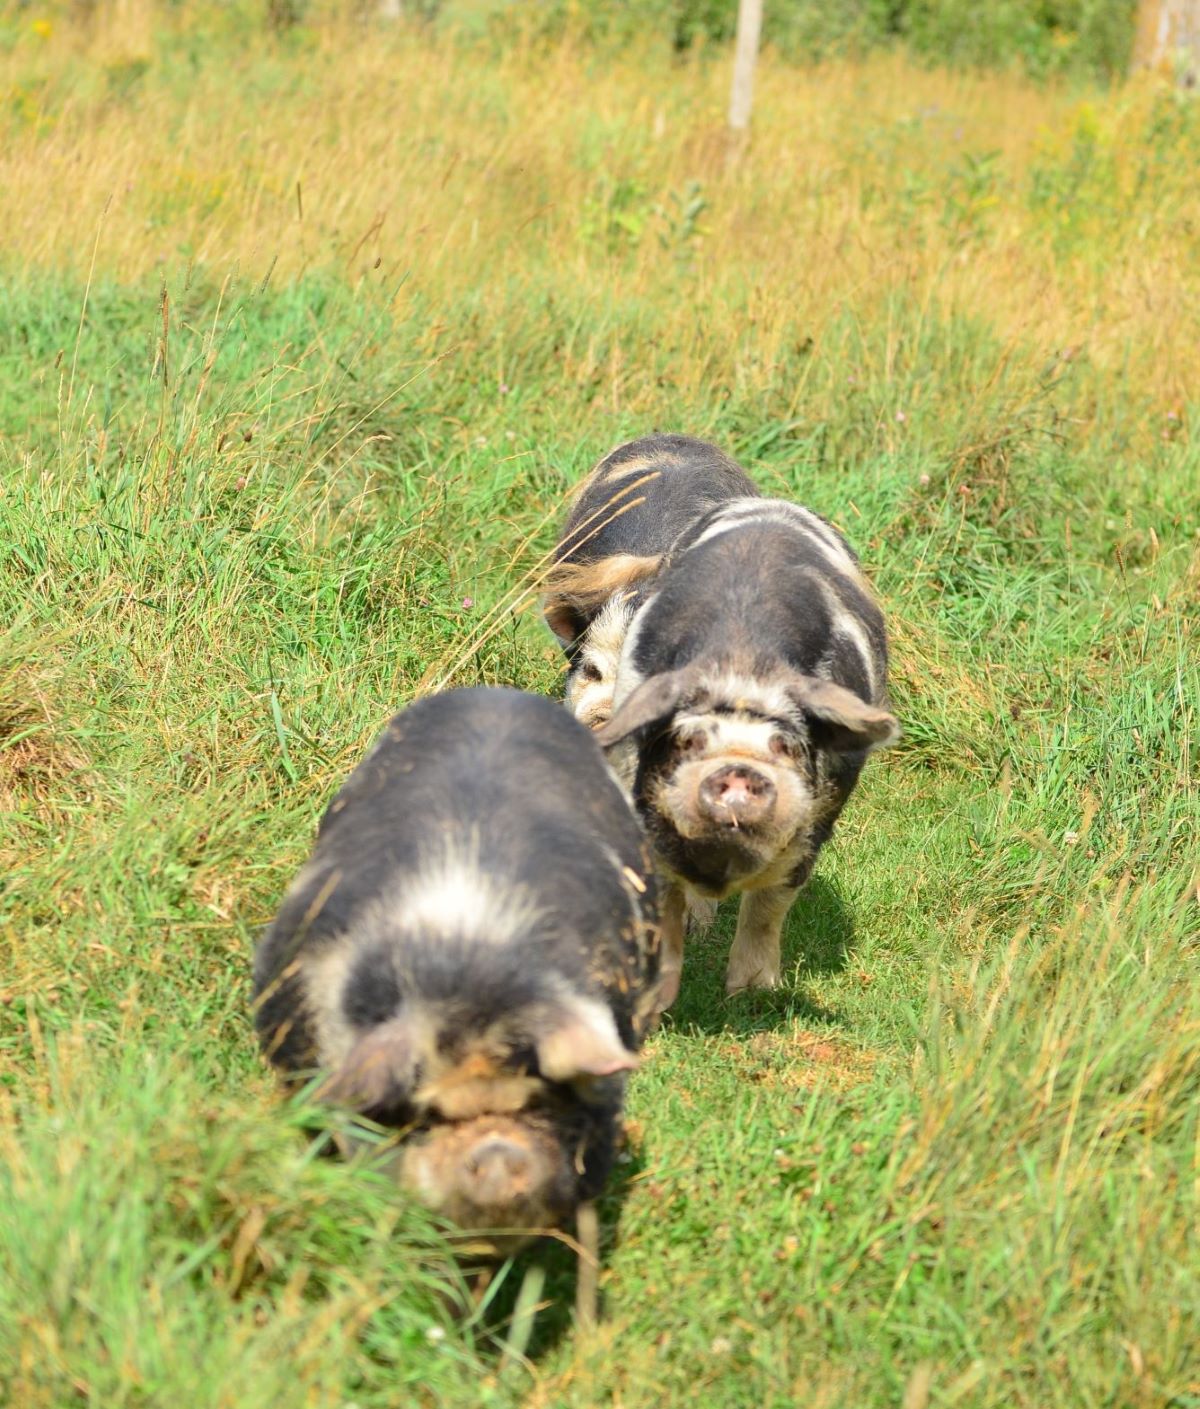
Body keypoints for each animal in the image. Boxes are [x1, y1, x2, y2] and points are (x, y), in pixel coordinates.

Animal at [595, 495, 899, 1009]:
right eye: (688, 740)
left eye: (786, 745)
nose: (738, 768)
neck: (743, 669)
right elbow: (664, 903)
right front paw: (658, 1001)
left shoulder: (815, 823)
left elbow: (770, 902)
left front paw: (753, 995)